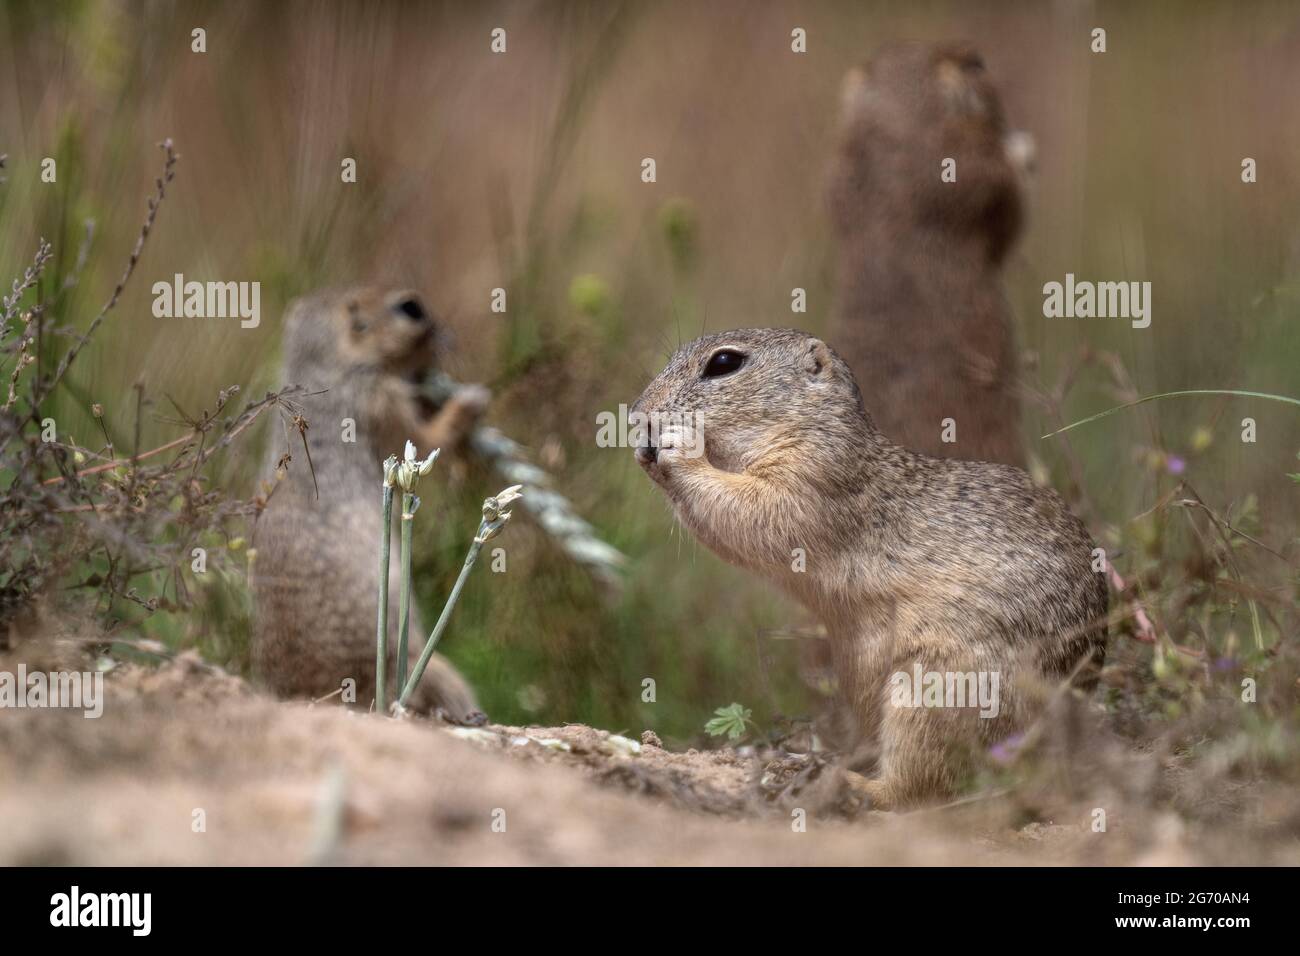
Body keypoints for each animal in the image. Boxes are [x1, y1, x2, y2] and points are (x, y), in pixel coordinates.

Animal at [251, 286, 489, 723]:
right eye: (410, 308)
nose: (448, 337)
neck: (329, 363)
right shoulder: (380, 402)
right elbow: (425, 436)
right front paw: (470, 403)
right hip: (434, 669)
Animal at [632, 329, 1106, 808]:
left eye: (724, 363)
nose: (638, 412)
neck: (809, 426)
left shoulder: (811, 480)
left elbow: (751, 511)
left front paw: (679, 450)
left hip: (934, 691)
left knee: (917, 790)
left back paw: (833, 777)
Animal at [827, 41, 1032, 467]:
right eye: (978, 64)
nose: (974, 55)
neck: (893, 123)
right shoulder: (975, 159)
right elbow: (1008, 204)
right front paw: (1023, 153)